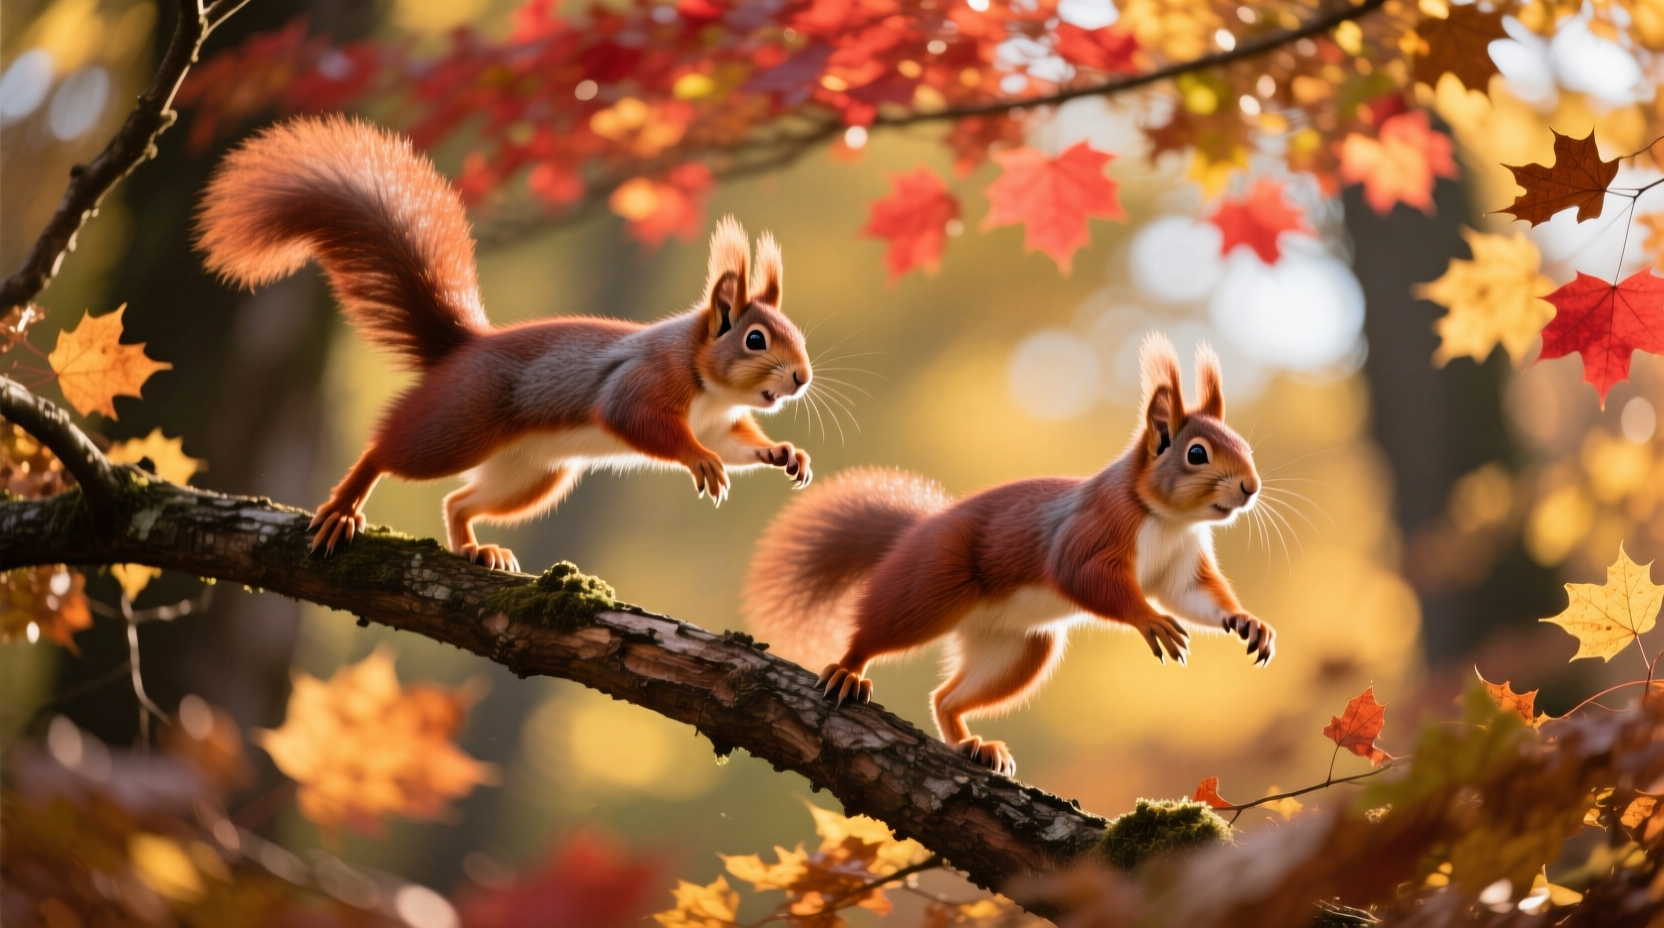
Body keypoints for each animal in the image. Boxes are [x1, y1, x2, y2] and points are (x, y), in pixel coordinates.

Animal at [197, 116, 814, 572]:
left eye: (796, 334)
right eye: (755, 339)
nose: (802, 377)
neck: (707, 384)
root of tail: (462, 349)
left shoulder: (719, 420)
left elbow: (739, 444)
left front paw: (783, 453)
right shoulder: (643, 379)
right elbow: (639, 419)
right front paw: (699, 460)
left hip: (532, 474)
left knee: (458, 500)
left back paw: (476, 548)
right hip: (457, 426)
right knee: (386, 452)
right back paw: (345, 508)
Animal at [742, 333, 1273, 777]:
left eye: (1244, 444)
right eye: (1197, 453)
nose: (1251, 487)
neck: (1166, 520)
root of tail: (912, 535)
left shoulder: (1182, 562)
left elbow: (1193, 596)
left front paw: (1248, 622)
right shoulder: (1097, 528)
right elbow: (1083, 575)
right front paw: (1151, 620)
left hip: (1017, 649)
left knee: (947, 698)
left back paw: (973, 745)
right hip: (929, 588)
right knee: (875, 634)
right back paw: (849, 671)